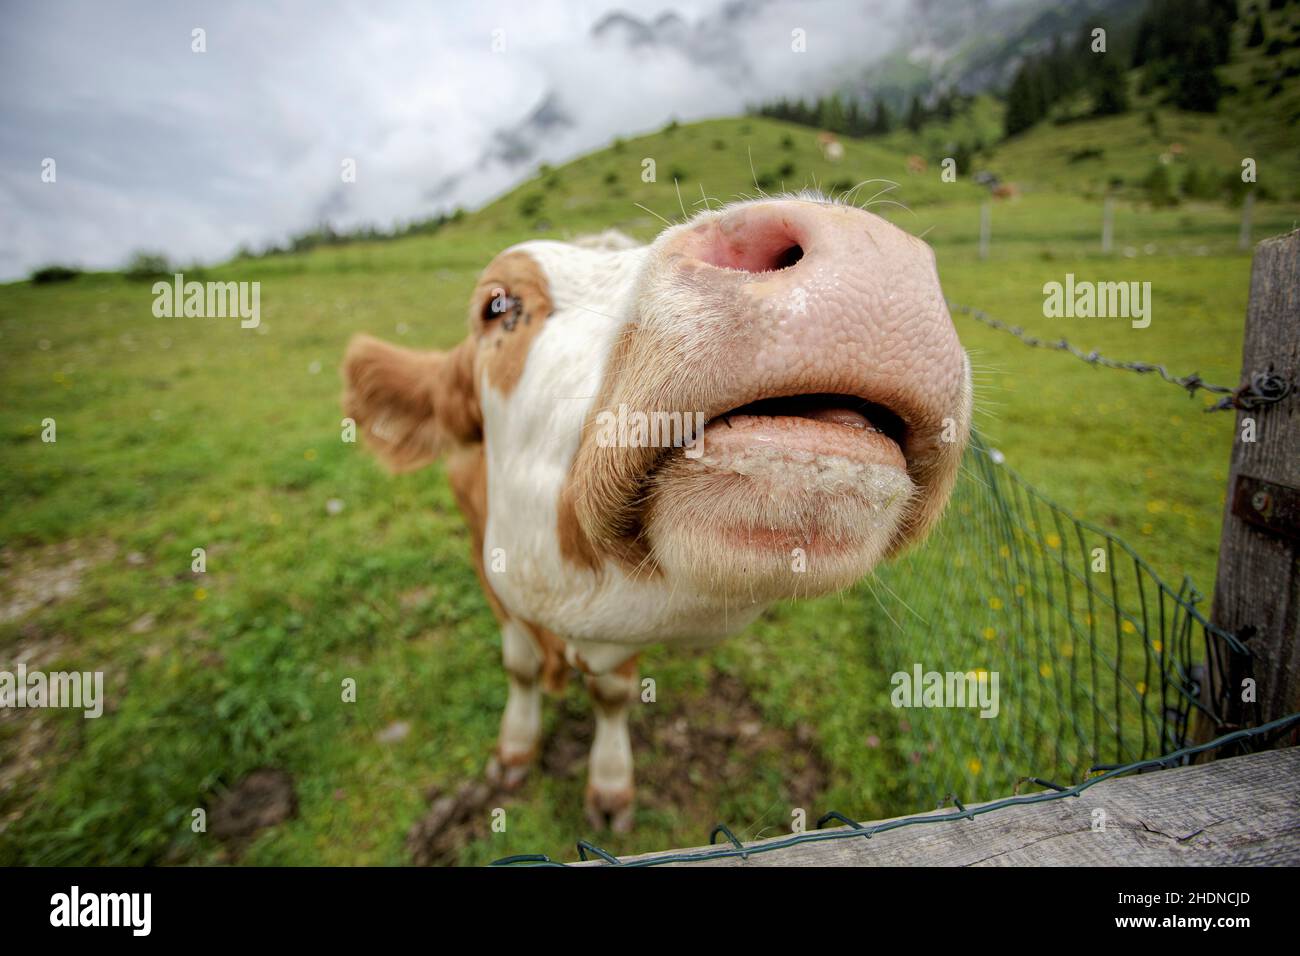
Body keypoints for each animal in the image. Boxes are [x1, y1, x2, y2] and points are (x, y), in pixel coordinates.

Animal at [342, 192, 972, 832]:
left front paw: (609, 786)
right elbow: (518, 665)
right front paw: (514, 748)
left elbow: (611, 694)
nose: (874, 256)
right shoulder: (485, 560)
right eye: (497, 305)